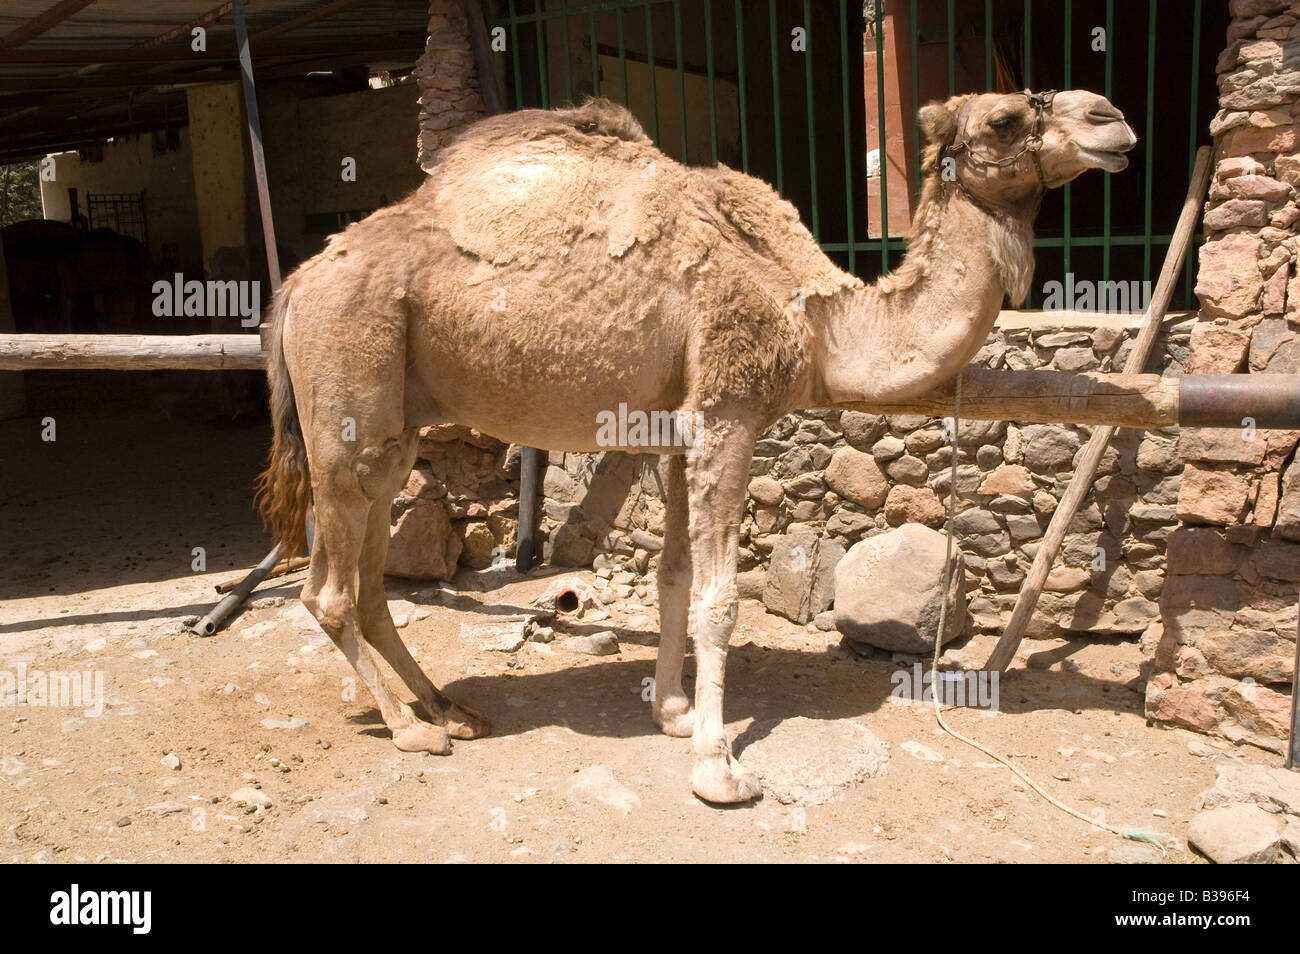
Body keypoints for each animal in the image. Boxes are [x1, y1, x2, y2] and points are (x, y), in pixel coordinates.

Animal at [256, 89, 1135, 803]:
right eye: (1006, 118)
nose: (1113, 120)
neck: (815, 318)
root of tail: (294, 286)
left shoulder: (679, 427)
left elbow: (675, 575)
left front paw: (674, 712)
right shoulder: (728, 413)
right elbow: (721, 597)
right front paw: (719, 765)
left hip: (392, 431)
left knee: (370, 580)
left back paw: (447, 708)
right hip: (345, 406)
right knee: (327, 591)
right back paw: (411, 728)